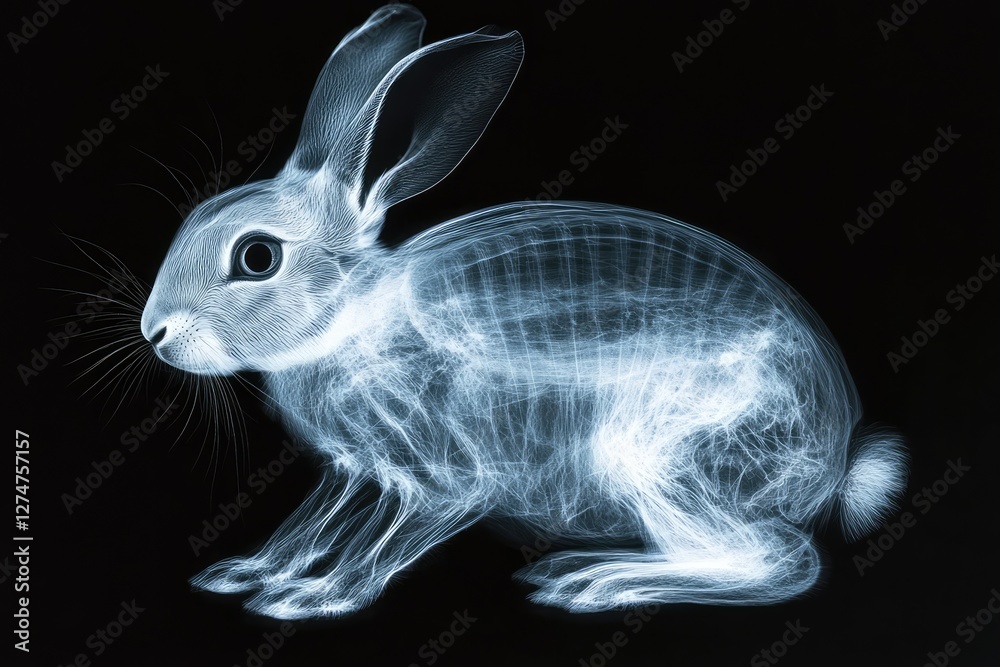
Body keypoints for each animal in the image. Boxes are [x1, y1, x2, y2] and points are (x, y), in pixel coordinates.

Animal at [140, 4, 907, 619]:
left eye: (257, 257)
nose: (156, 334)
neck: (348, 318)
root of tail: (835, 463)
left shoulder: (447, 478)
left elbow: (387, 540)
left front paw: (315, 598)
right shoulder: (355, 466)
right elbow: (314, 523)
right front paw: (247, 574)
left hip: (661, 456)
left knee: (778, 563)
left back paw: (600, 582)